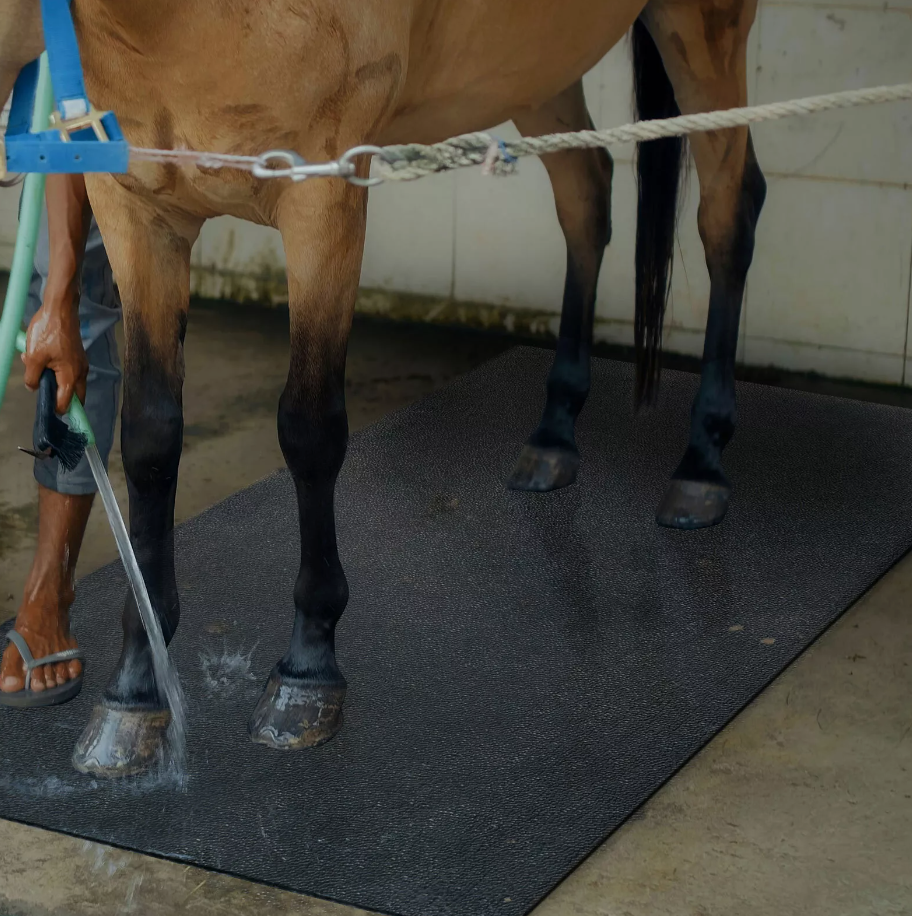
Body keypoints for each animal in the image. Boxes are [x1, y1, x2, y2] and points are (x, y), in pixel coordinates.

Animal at [0, 0, 764, 776]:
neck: (170, 27)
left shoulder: (323, 198)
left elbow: (309, 430)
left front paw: (308, 669)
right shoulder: (136, 213)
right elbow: (150, 441)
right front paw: (136, 690)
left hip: (704, 32)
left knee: (728, 208)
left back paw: (702, 464)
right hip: (542, 64)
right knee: (587, 190)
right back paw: (554, 435)